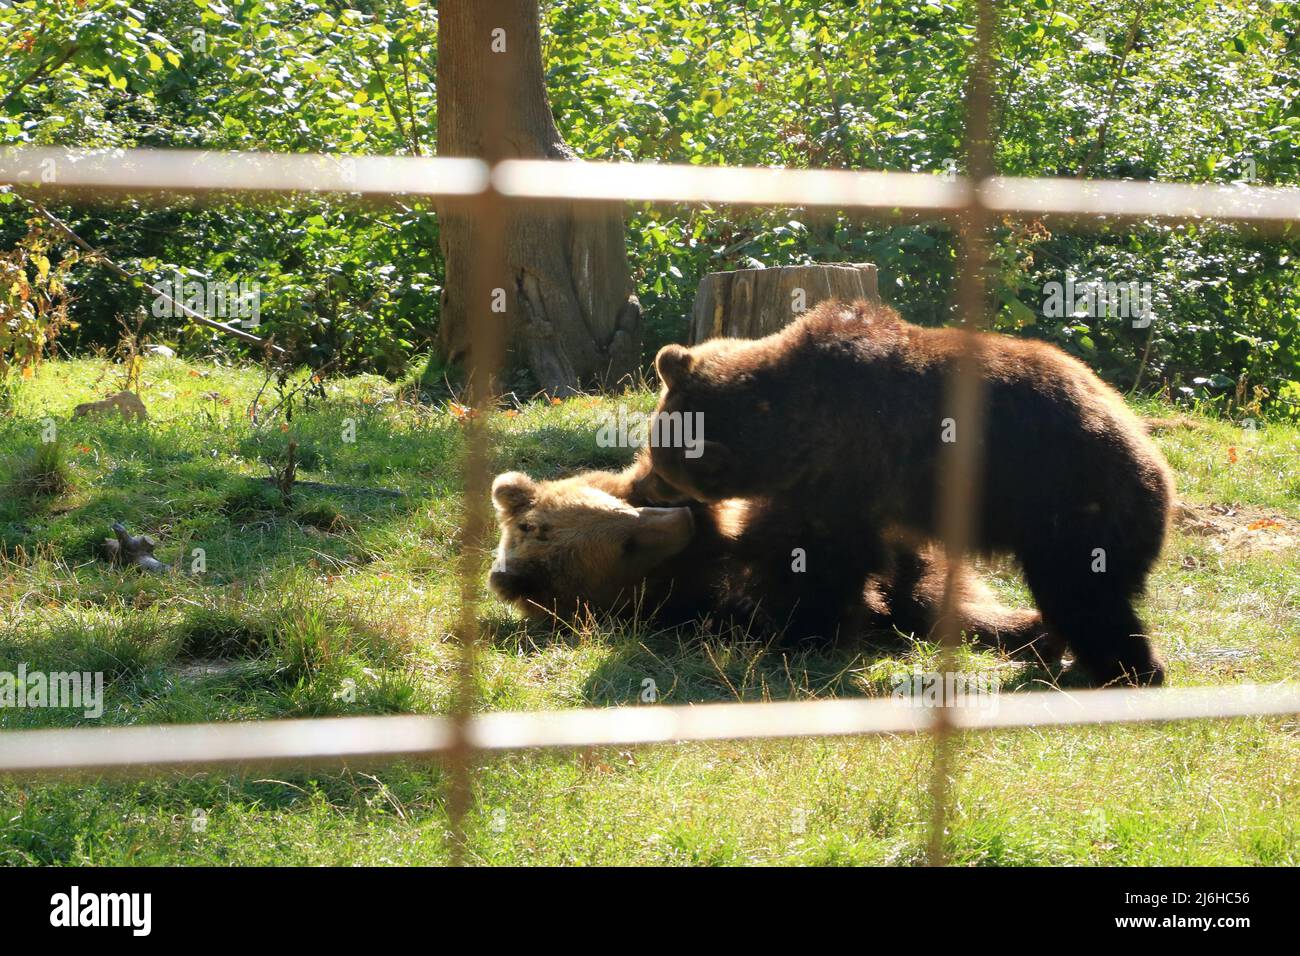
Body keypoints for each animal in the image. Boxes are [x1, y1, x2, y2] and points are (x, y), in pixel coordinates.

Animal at [647, 298, 1173, 686]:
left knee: (1083, 592)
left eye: (664, 469)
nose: (652, 489)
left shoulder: (852, 464)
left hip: (1073, 505)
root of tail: (1154, 463)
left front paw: (801, 629)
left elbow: (820, 555)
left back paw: (1128, 668)